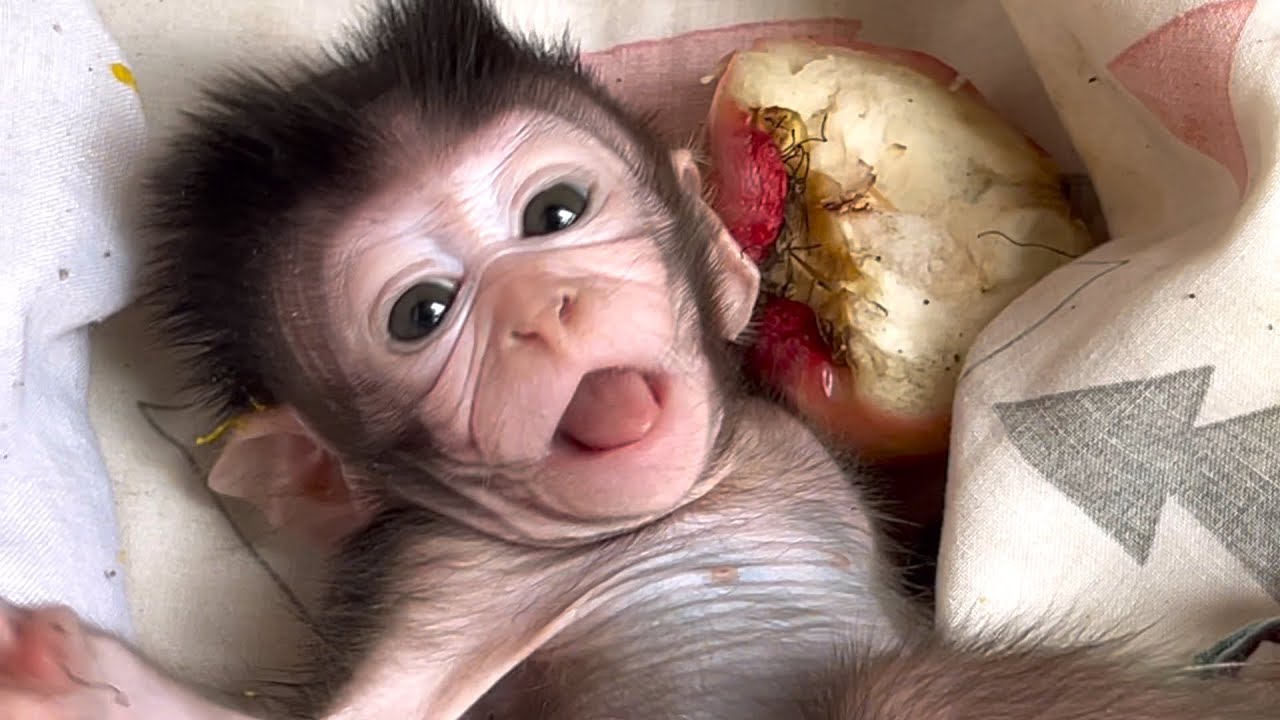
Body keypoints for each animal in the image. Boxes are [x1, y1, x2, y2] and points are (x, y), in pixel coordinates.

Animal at [0, 0, 1275, 718]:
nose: (545, 309)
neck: (675, 503)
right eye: (421, 312)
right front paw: (86, 681)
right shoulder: (449, 571)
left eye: (555, 213)